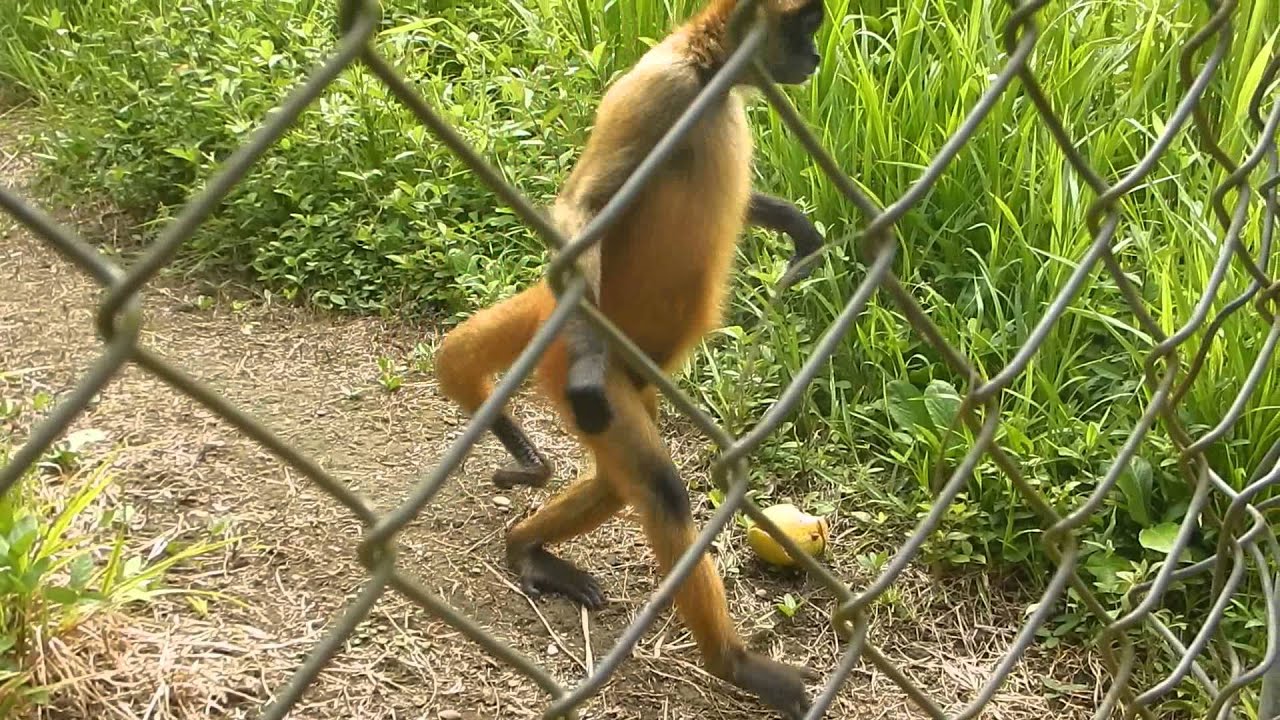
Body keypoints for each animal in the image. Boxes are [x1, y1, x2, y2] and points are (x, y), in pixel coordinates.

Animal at [433, 0, 825, 717]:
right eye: (804, 27)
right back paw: (731, 665)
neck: (710, 78)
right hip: (588, 361)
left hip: (639, 383)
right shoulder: (660, 88)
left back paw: (525, 547)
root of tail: (561, 313)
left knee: (623, 485)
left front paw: (792, 221)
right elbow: (583, 205)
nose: (812, 59)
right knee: (659, 489)